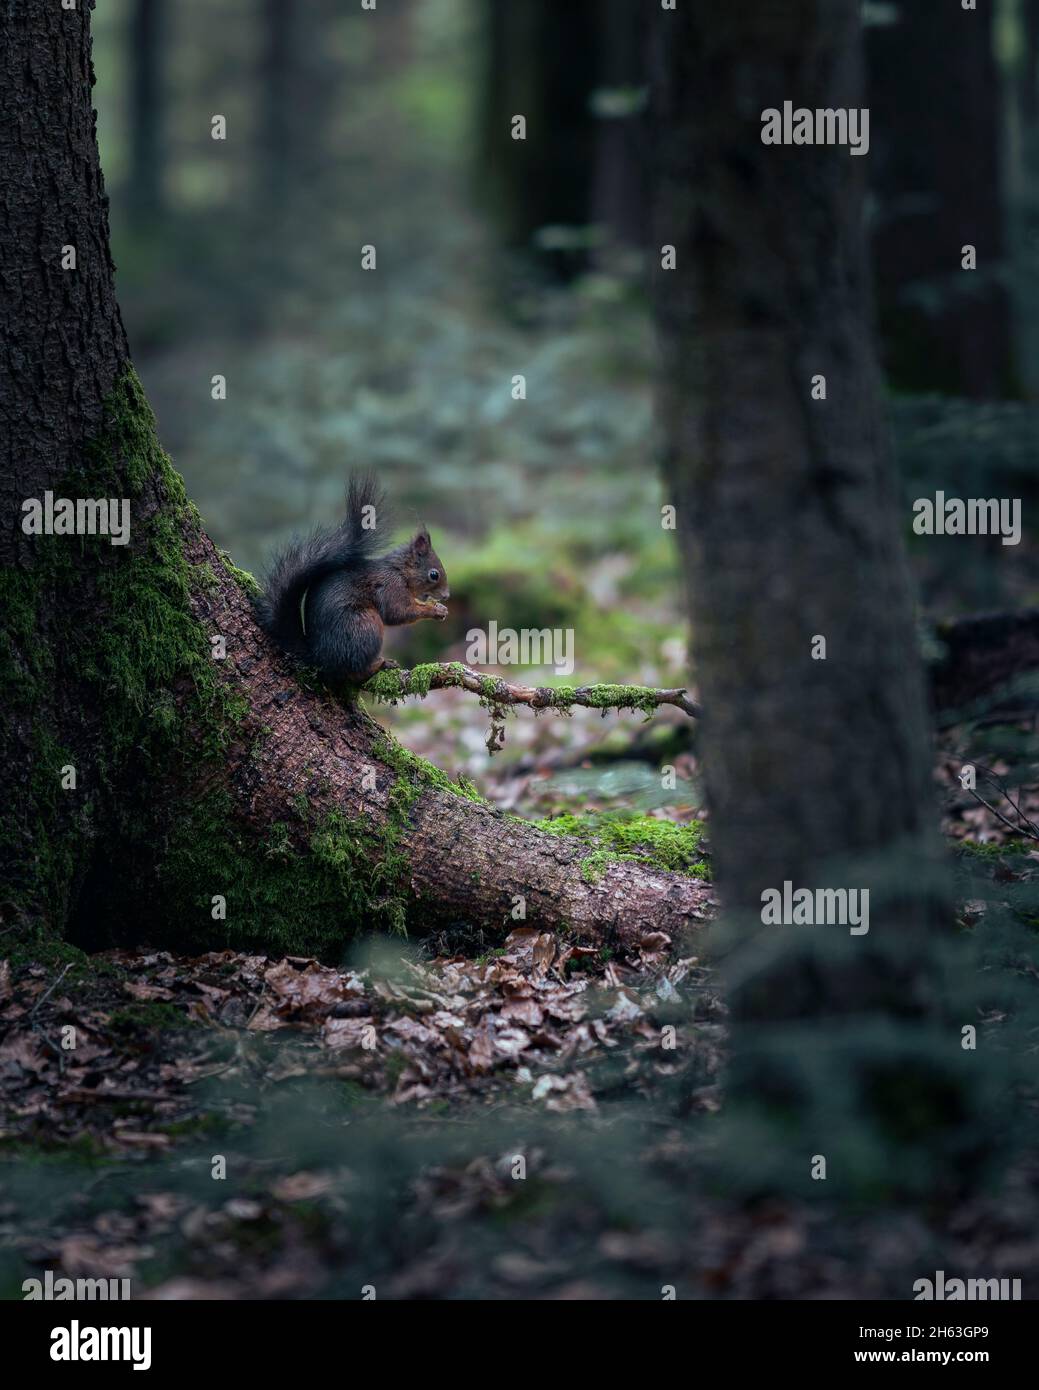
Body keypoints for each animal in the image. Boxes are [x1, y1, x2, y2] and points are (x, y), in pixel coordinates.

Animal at [256, 473, 450, 683]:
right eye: (434, 574)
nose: (447, 595)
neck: (400, 571)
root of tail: (319, 658)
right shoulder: (390, 587)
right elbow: (398, 612)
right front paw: (434, 610)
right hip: (366, 627)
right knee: (354, 671)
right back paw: (380, 664)